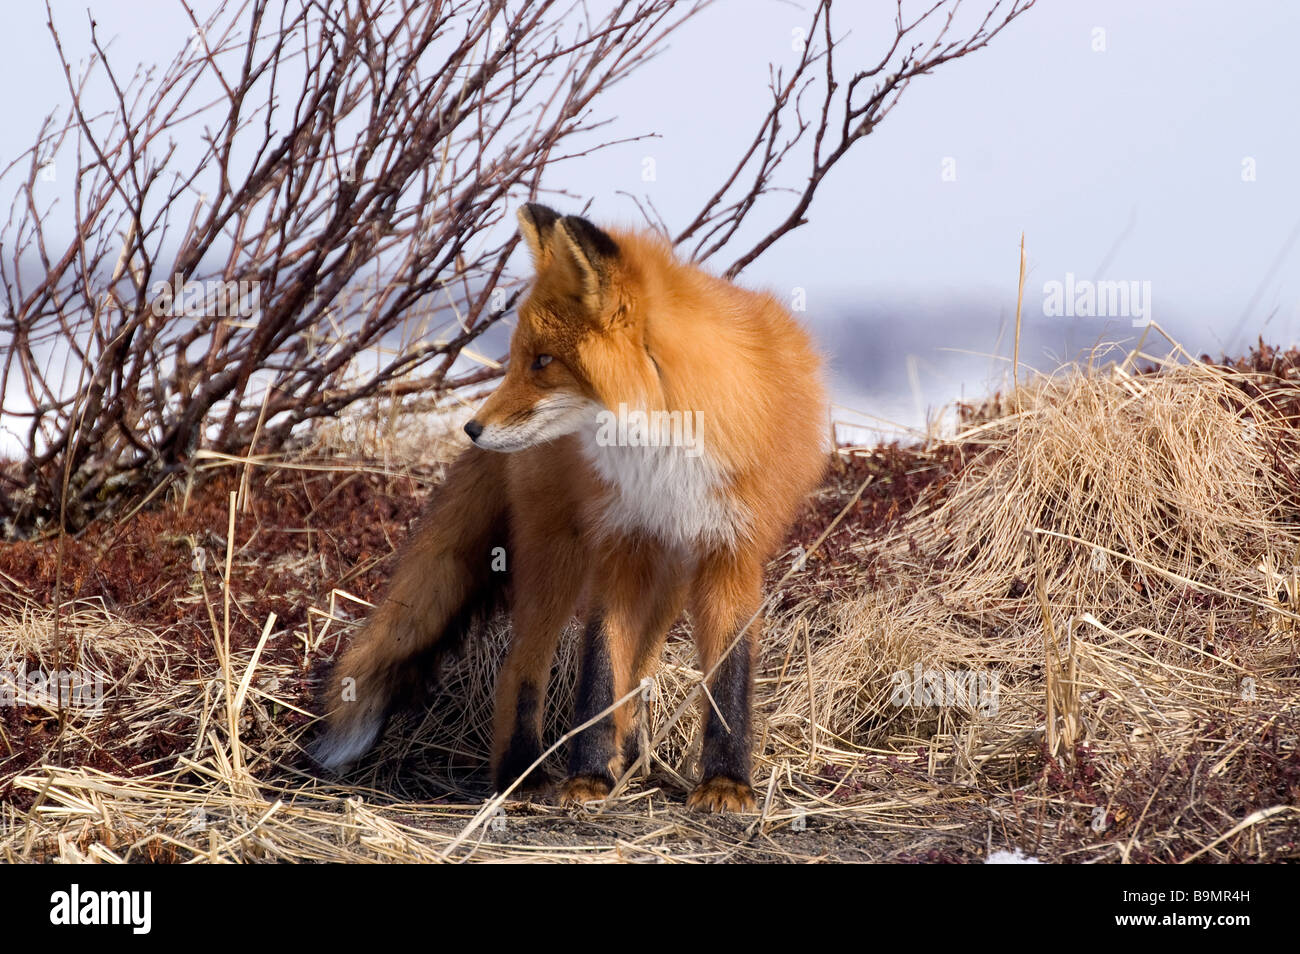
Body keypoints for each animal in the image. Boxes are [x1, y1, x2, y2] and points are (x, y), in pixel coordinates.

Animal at [313, 204, 826, 812]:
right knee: (520, 668)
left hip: (670, 572)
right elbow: (600, 668)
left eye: (543, 361)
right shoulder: (621, 542)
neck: (668, 446)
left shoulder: (730, 550)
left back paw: (631, 759)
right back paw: (523, 775)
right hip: (558, 554)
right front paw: (588, 776)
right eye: (519, 359)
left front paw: (725, 782)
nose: (472, 428)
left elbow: (726, 677)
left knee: (641, 665)